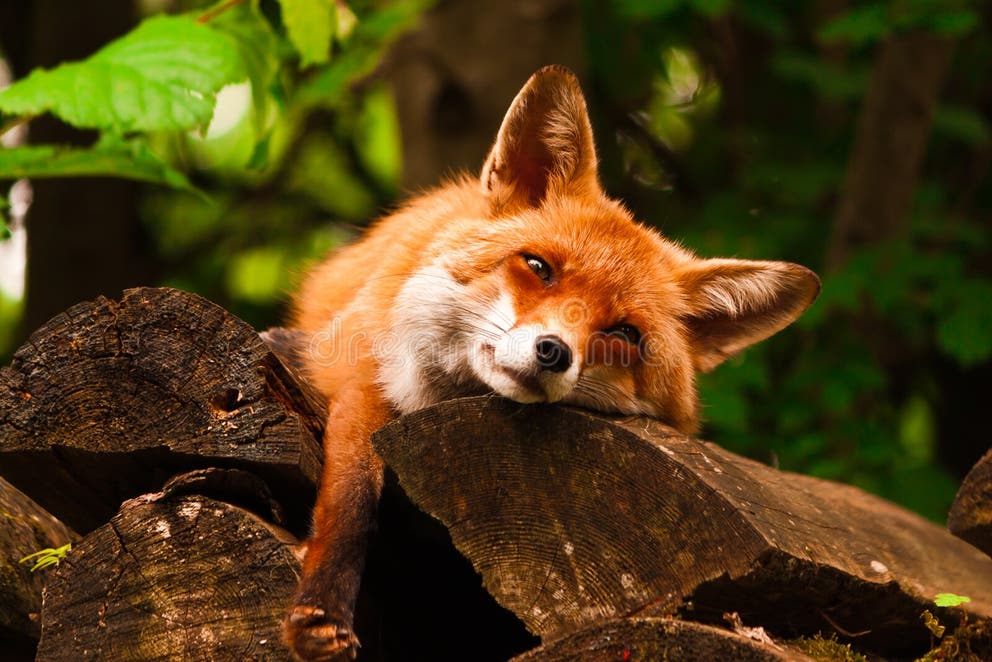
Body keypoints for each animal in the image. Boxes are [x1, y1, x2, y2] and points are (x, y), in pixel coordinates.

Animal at [283, 65, 820, 660]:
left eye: (624, 334)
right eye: (539, 267)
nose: (553, 351)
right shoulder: (360, 370)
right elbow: (351, 498)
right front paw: (322, 609)